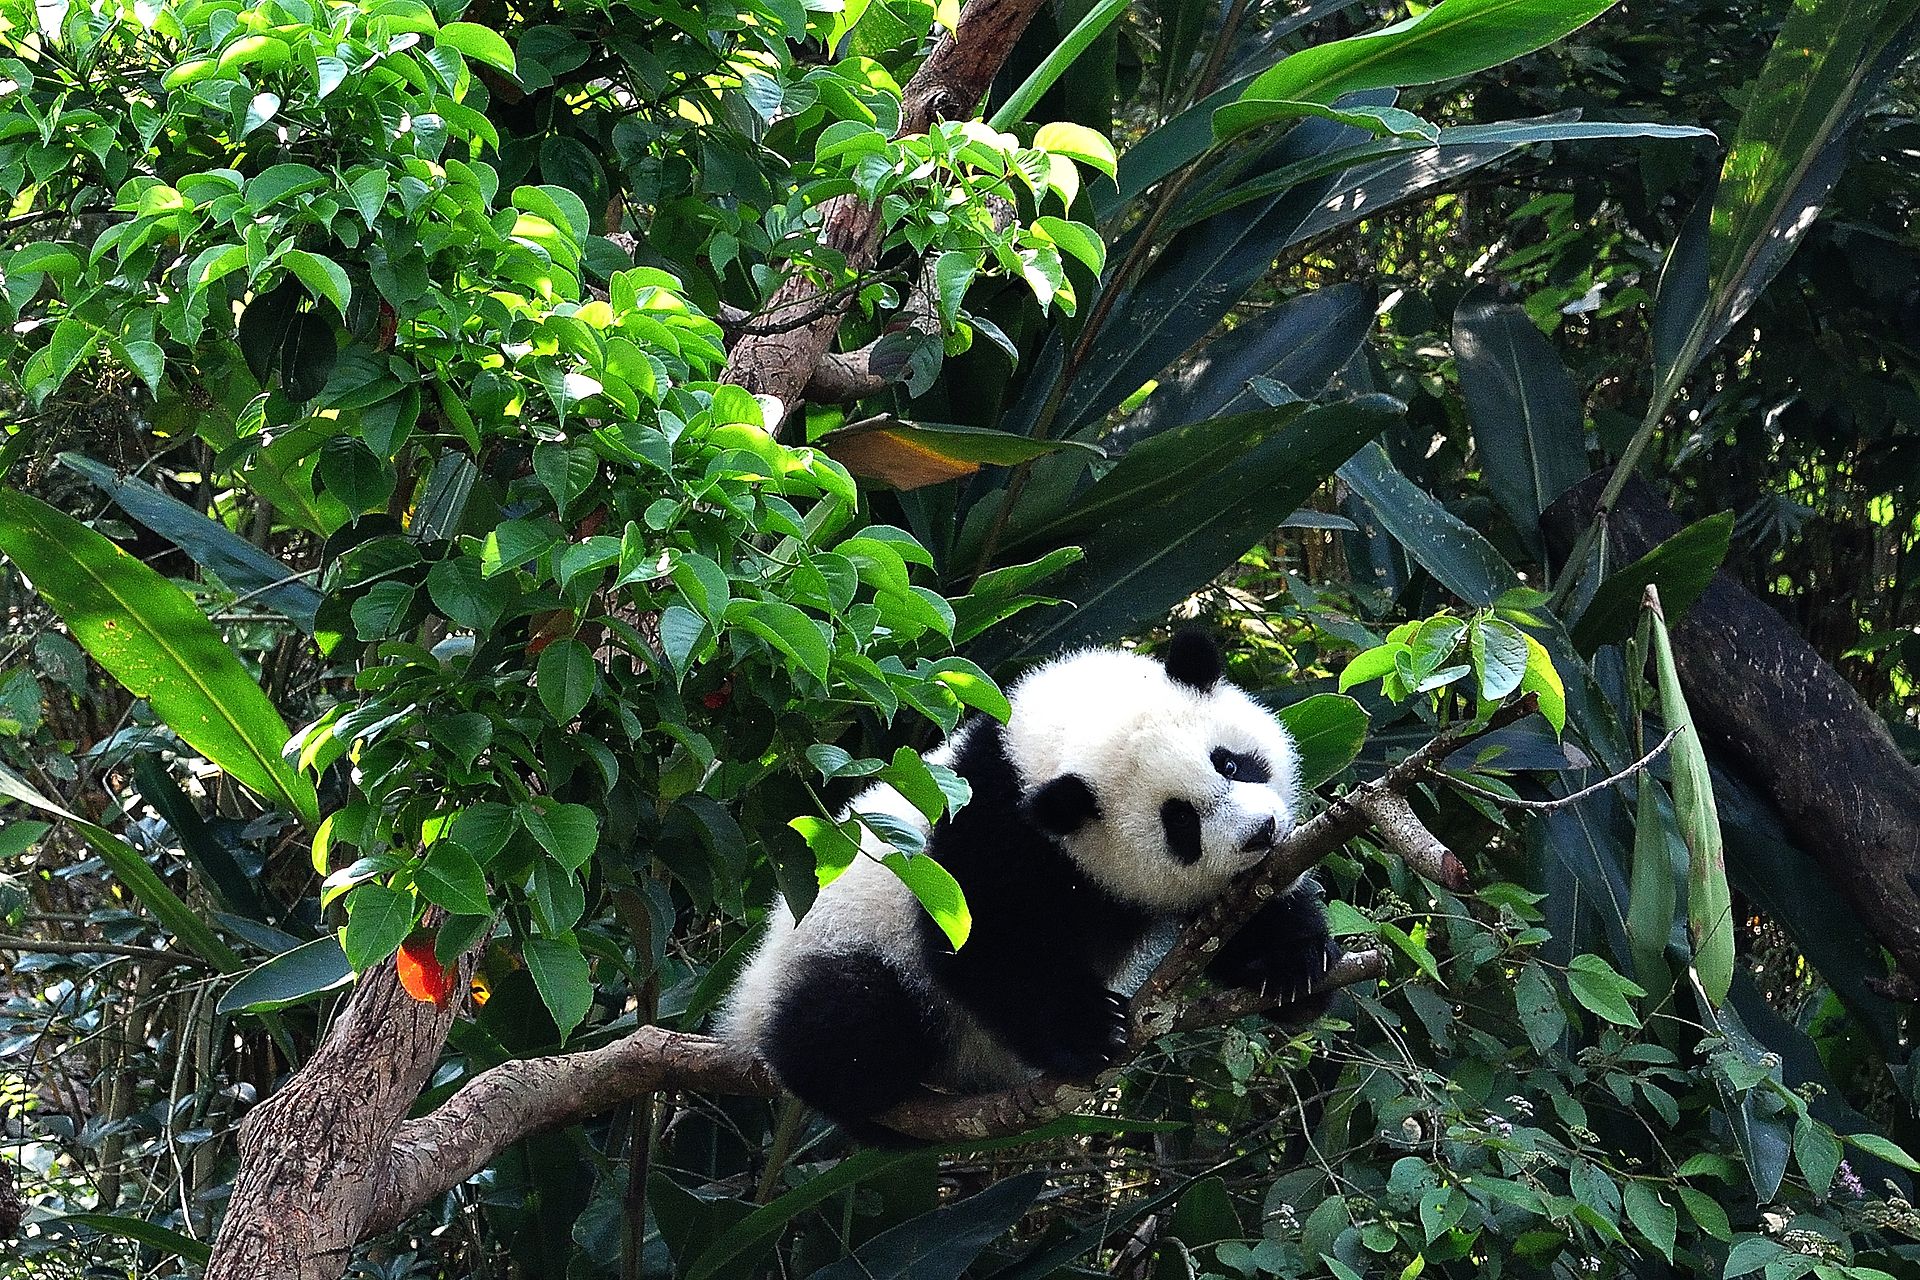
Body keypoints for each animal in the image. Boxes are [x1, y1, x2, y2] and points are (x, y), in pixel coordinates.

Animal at [717, 631, 1339, 1140]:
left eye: (1229, 763)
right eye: (1180, 820)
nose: (1262, 832)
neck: (1030, 752)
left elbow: (1236, 914)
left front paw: (1291, 965)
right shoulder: (986, 835)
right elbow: (987, 946)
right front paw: (1092, 1029)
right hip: (833, 949)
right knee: (843, 1014)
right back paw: (860, 1072)